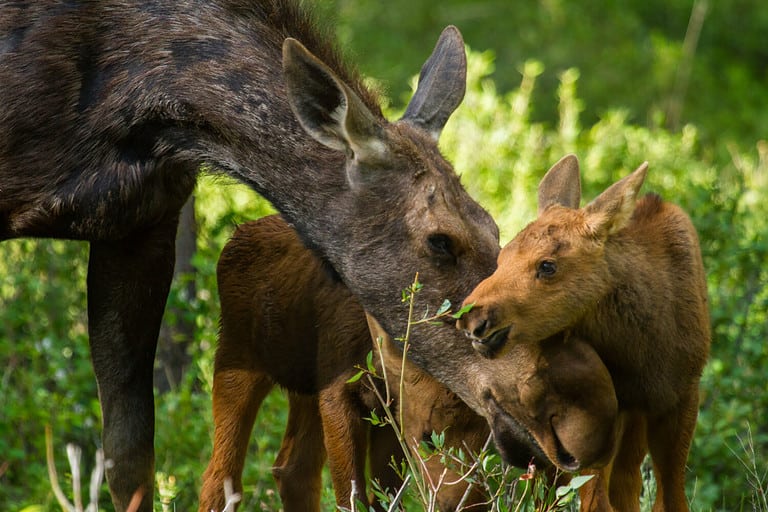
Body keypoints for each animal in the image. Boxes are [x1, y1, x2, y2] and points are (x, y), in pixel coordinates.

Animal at [200, 214, 620, 511]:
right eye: (429, 437)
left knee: (292, 470)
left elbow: (383, 497)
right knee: (219, 476)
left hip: (302, 386)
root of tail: (235, 237)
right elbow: (352, 496)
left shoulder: (385, 416)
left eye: (482, 438)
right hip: (236, 355)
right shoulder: (340, 391)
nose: (459, 504)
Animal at [457, 155, 711, 511]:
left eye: (548, 265)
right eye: (502, 257)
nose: (471, 316)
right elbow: (595, 500)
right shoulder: (604, 414)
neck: (642, 354)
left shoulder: (683, 395)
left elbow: (671, 498)